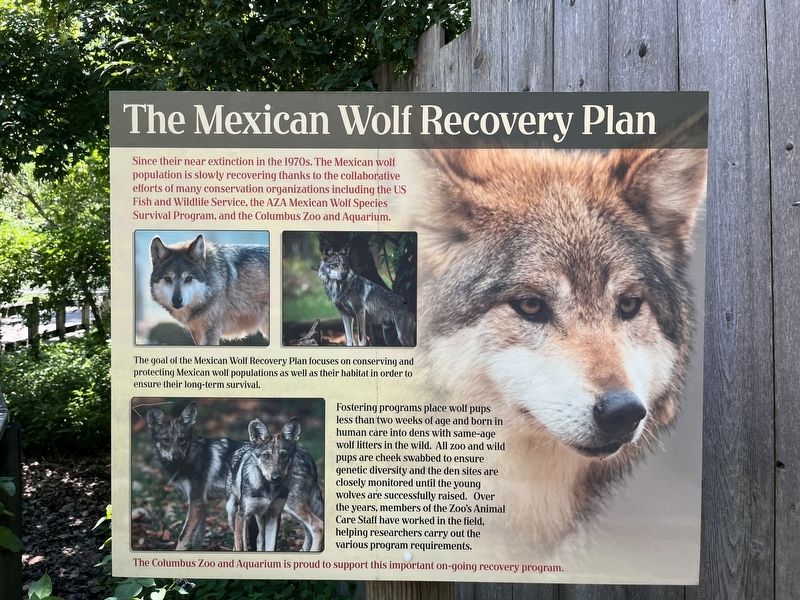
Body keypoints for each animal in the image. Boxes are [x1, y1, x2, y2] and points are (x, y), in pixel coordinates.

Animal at [145, 402, 243, 550]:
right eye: (166, 440)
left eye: (182, 439)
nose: (177, 457)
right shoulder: (201, 503)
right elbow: (197, 538)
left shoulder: (196, 501)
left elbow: (183, 536)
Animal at [226, 417, 324, 552]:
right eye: (266, 455)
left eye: (284, 455)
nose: (276, 477)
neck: (268, 488)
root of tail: (310, 459)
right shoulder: (244, 514)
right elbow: (246, 543)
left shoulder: (274, 516)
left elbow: (267, 546)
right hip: (234, 510)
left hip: (292, 507)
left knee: (317, 526)